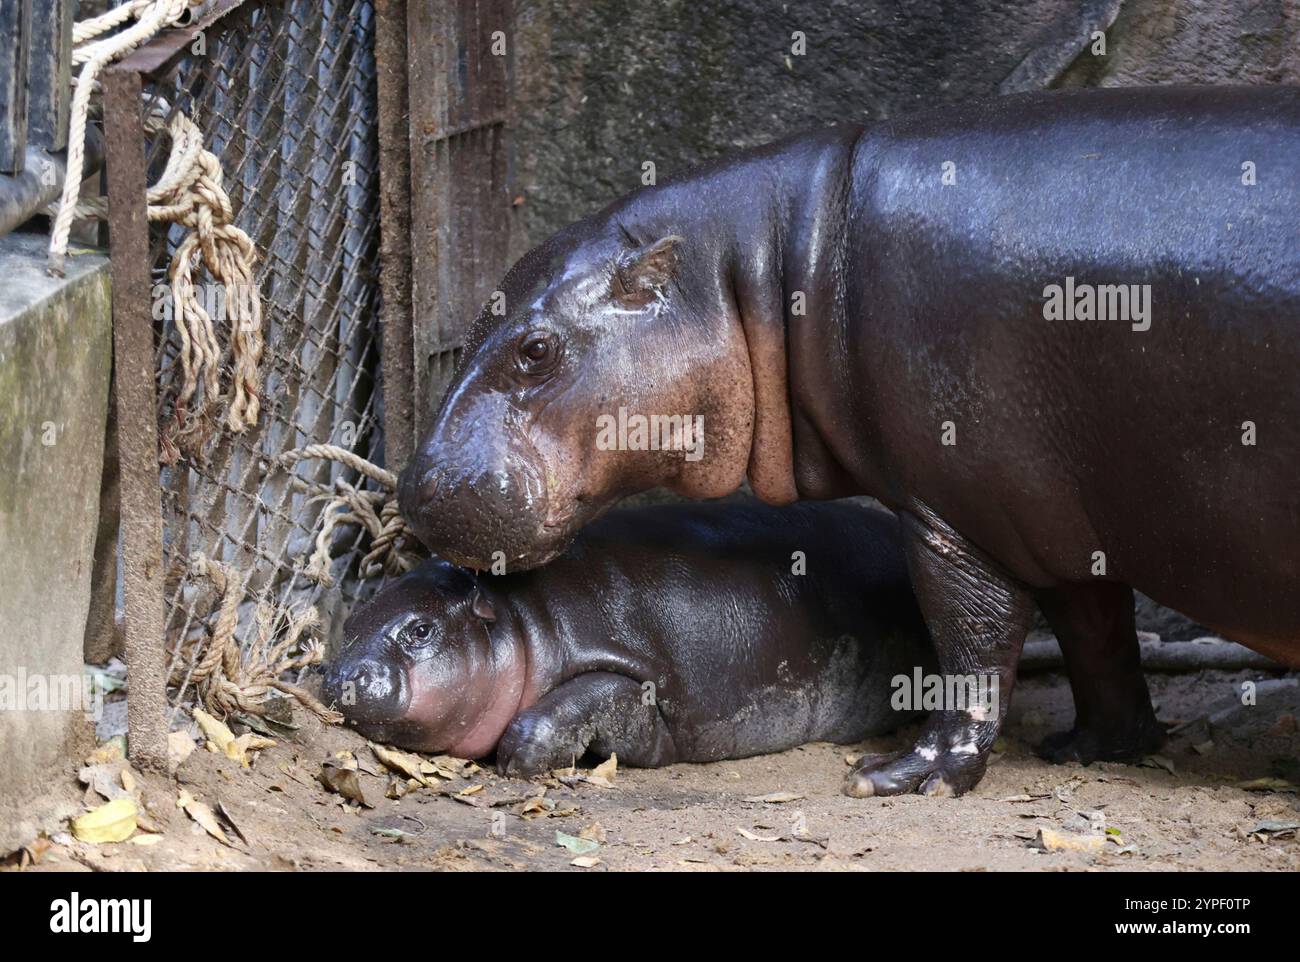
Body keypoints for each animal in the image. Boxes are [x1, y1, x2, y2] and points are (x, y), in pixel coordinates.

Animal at [321, 500, 935, 774]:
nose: (342, 677)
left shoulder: (626, 673)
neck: (516, 619)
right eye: (350, 623)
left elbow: (568, 705)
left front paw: (517, 761)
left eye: (420, 629)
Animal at [398, 86, 1300, 797]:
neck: (766, 267)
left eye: (535, 349)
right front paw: (1093, 749)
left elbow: (972, 642)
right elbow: (1097, 631)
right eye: (477, 317)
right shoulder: (1059, 519)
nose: (414, 485)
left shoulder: (954, 511)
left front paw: (906, 776)